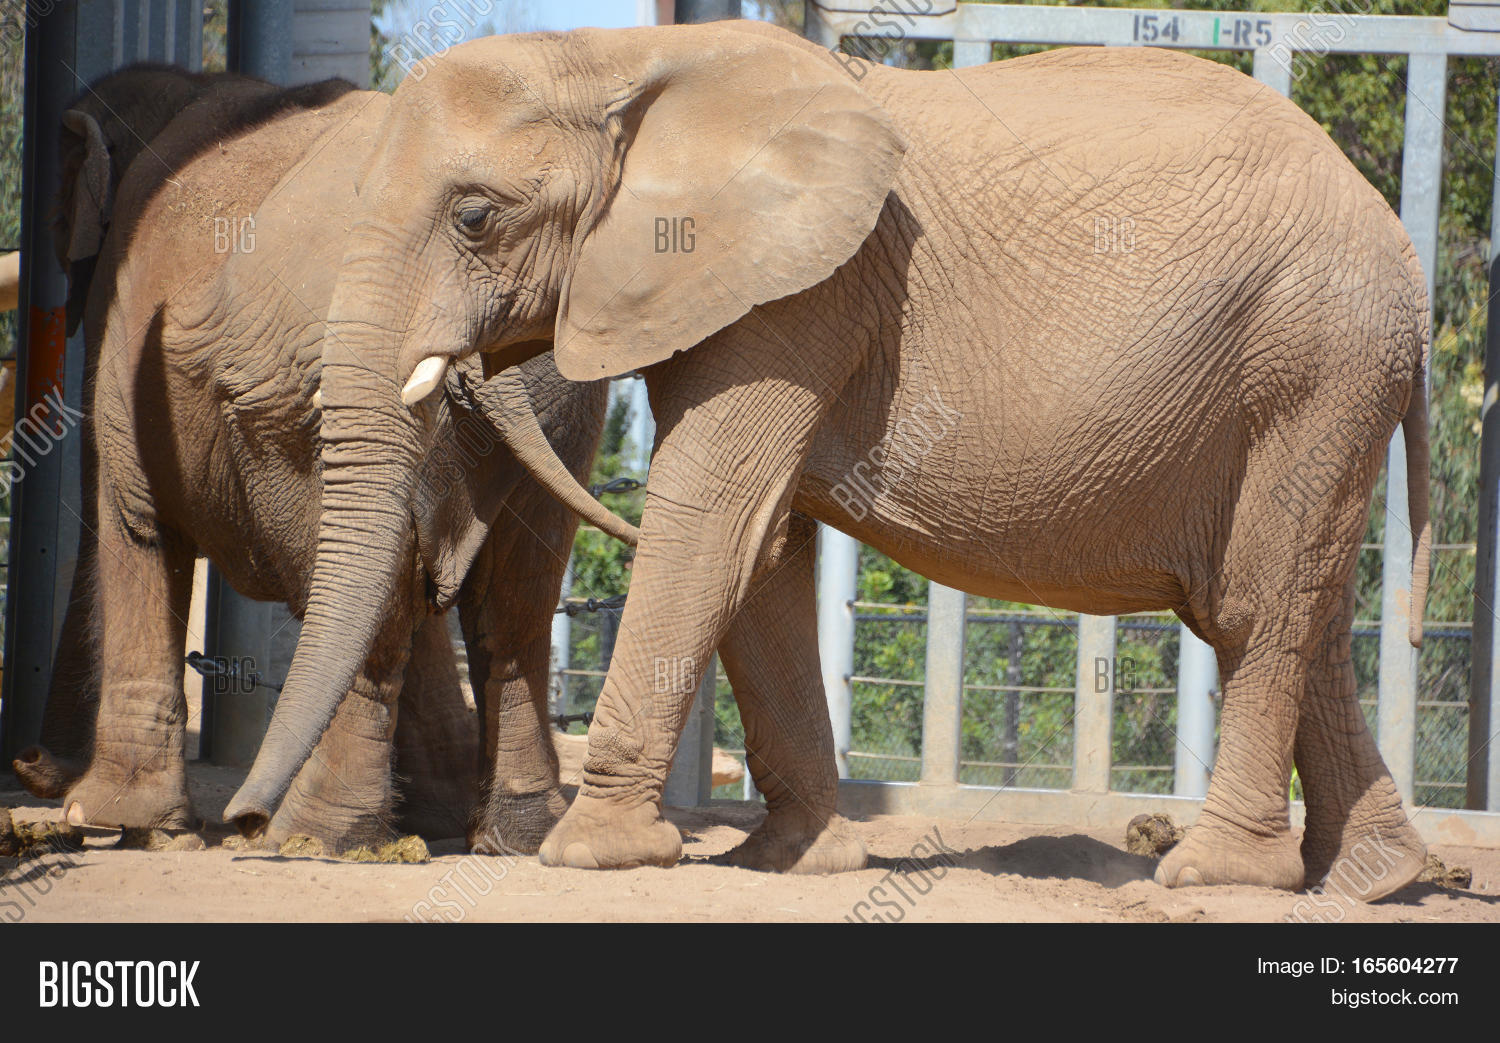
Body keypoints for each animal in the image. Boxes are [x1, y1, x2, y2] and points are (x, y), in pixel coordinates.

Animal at [12, 62, 637, 854]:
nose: (32, 763)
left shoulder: (125, 328)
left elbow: (132, 516)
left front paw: (115, 820)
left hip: (302, 397)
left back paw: (306, 835)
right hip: (561, 387)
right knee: (510, 595)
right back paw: (510, 835)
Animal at [224, 21, 1433, 898]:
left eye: (475, 218)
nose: (239, 825)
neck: (617, 55)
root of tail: (1402, 250)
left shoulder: (802, 293)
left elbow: (711, 513)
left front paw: (595, 855)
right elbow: (761, 547)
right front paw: (795, 862)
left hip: (1314, 359)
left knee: (1262, 602)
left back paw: (1212, 877)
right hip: (1323, 369)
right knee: (1280, 604)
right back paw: (1375, 881)